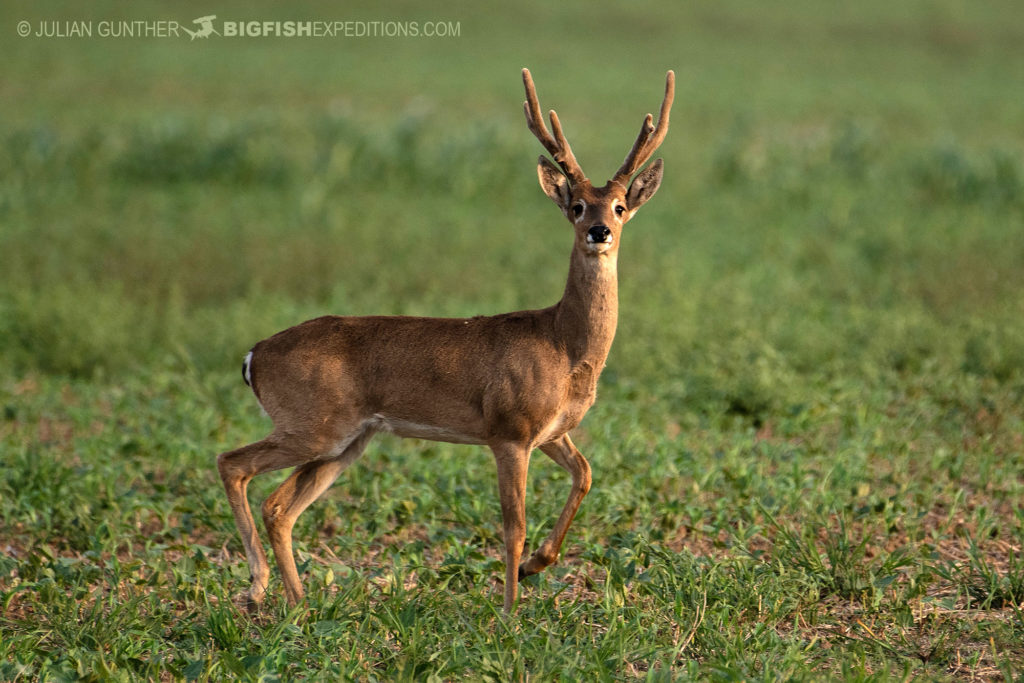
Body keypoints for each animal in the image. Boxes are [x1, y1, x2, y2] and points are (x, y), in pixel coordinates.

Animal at [216, 67, 674, 613]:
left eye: (621, 206)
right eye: (578, 205)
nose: (600, 231)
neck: (564, 346)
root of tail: (253, 356)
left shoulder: (550, 431)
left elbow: (585, 474)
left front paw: (537, 566)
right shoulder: (509, 430)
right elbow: (513, 526)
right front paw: (509, 610)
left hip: (346, 441)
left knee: (279, 505)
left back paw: (301, 601)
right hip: (313, 426)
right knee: (233, 464)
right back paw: (258, 584)